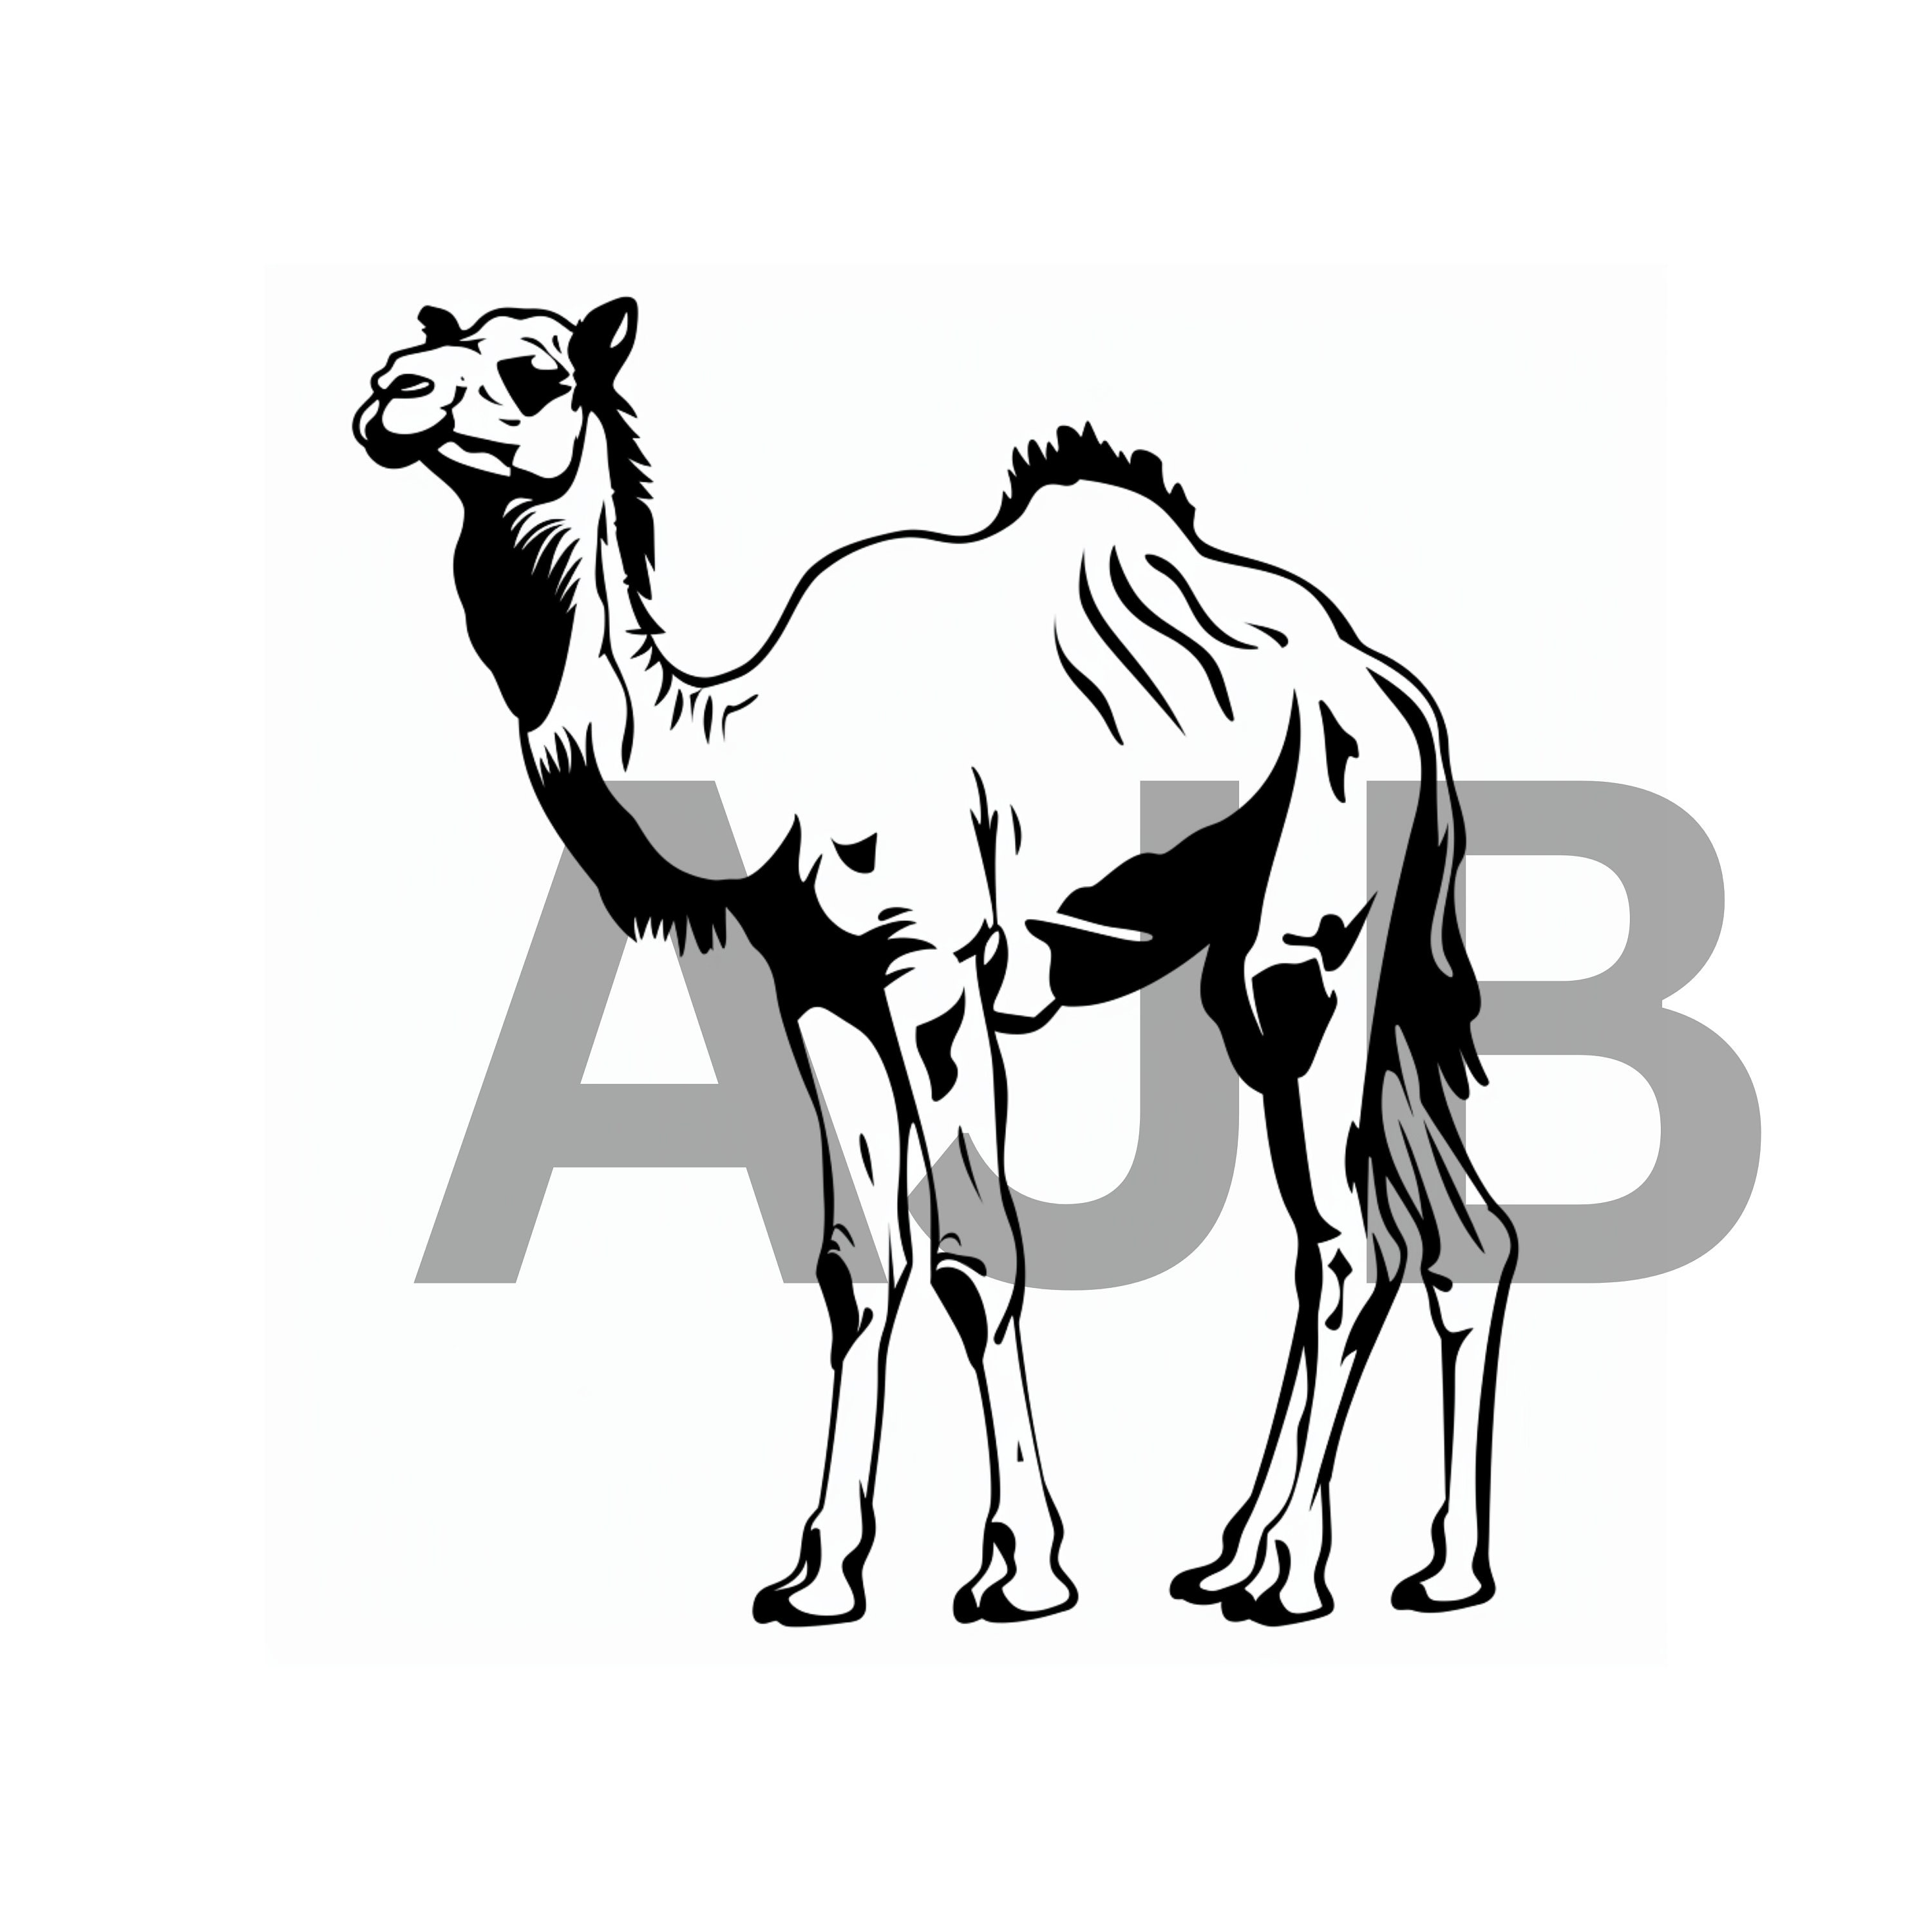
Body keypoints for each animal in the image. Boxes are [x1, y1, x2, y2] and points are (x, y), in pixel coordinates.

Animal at [352, 297, 1518, 1626]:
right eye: (434, 342)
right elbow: (856, 1267)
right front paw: (818, 1575)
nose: (391, 392)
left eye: (534, 371)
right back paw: (1409, 1567)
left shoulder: (934, 965)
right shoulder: (818, 991)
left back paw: (1283, 1570)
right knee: (1460, 1236)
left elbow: (975, 1256)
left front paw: (1022, 1568)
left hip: (1305, 954)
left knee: (1345, 1241)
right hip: (1357, 978)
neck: (754, 761)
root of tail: (1400, 700)